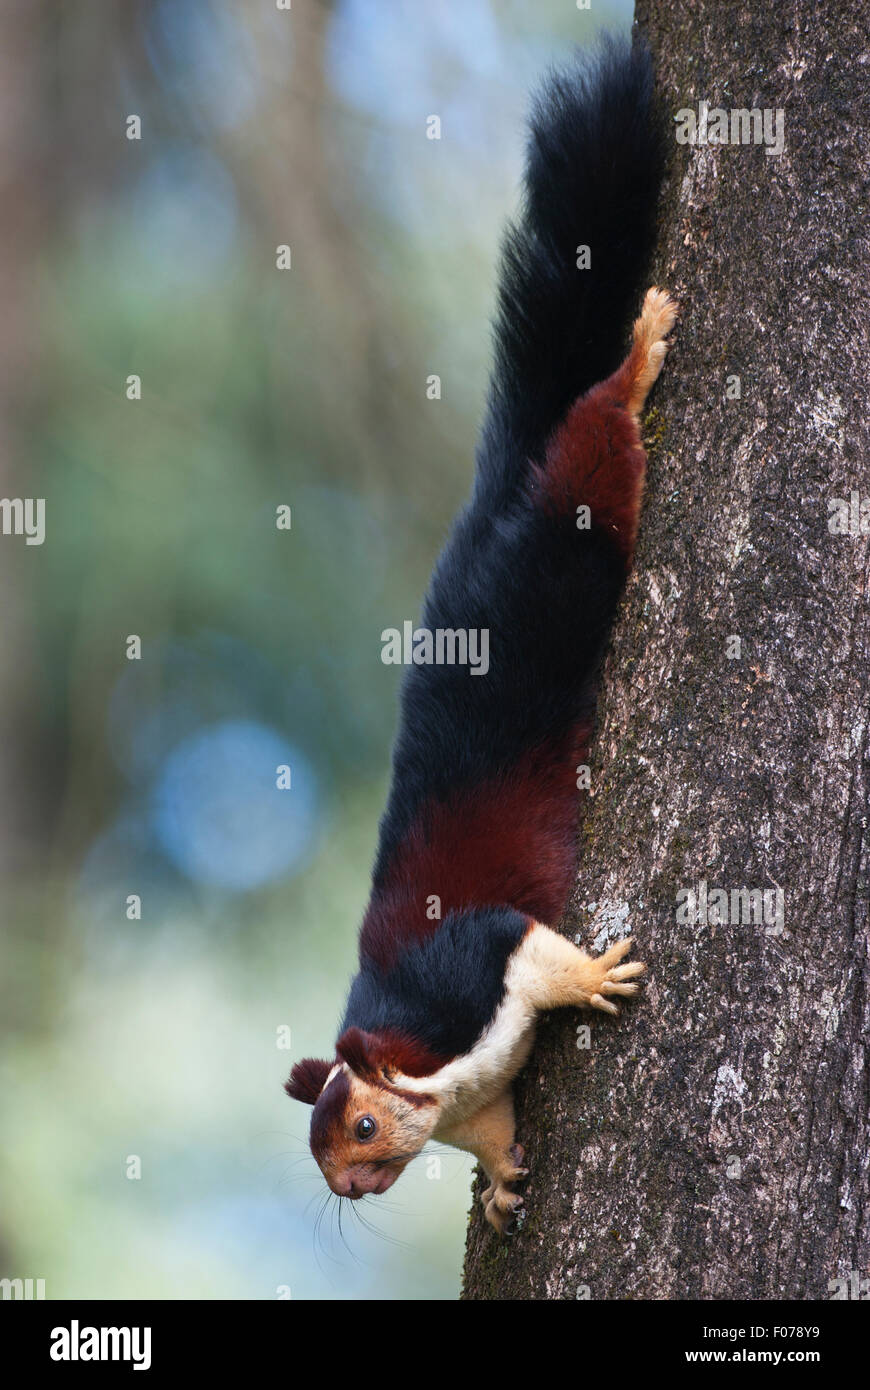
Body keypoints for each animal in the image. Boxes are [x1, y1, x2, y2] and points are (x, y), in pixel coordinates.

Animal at [285, 35, 677, 1235]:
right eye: (320, 1149)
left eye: (363, 1127)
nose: (350, 1188)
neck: (426, 1064)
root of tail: (485, 526)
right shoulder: (476, 1093)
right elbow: (497, 1130)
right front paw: (503, 1186)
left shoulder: (465, 968)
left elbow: (529, 950)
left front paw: (593, 980)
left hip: (557, 562)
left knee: (589, 450)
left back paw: (633, 364)